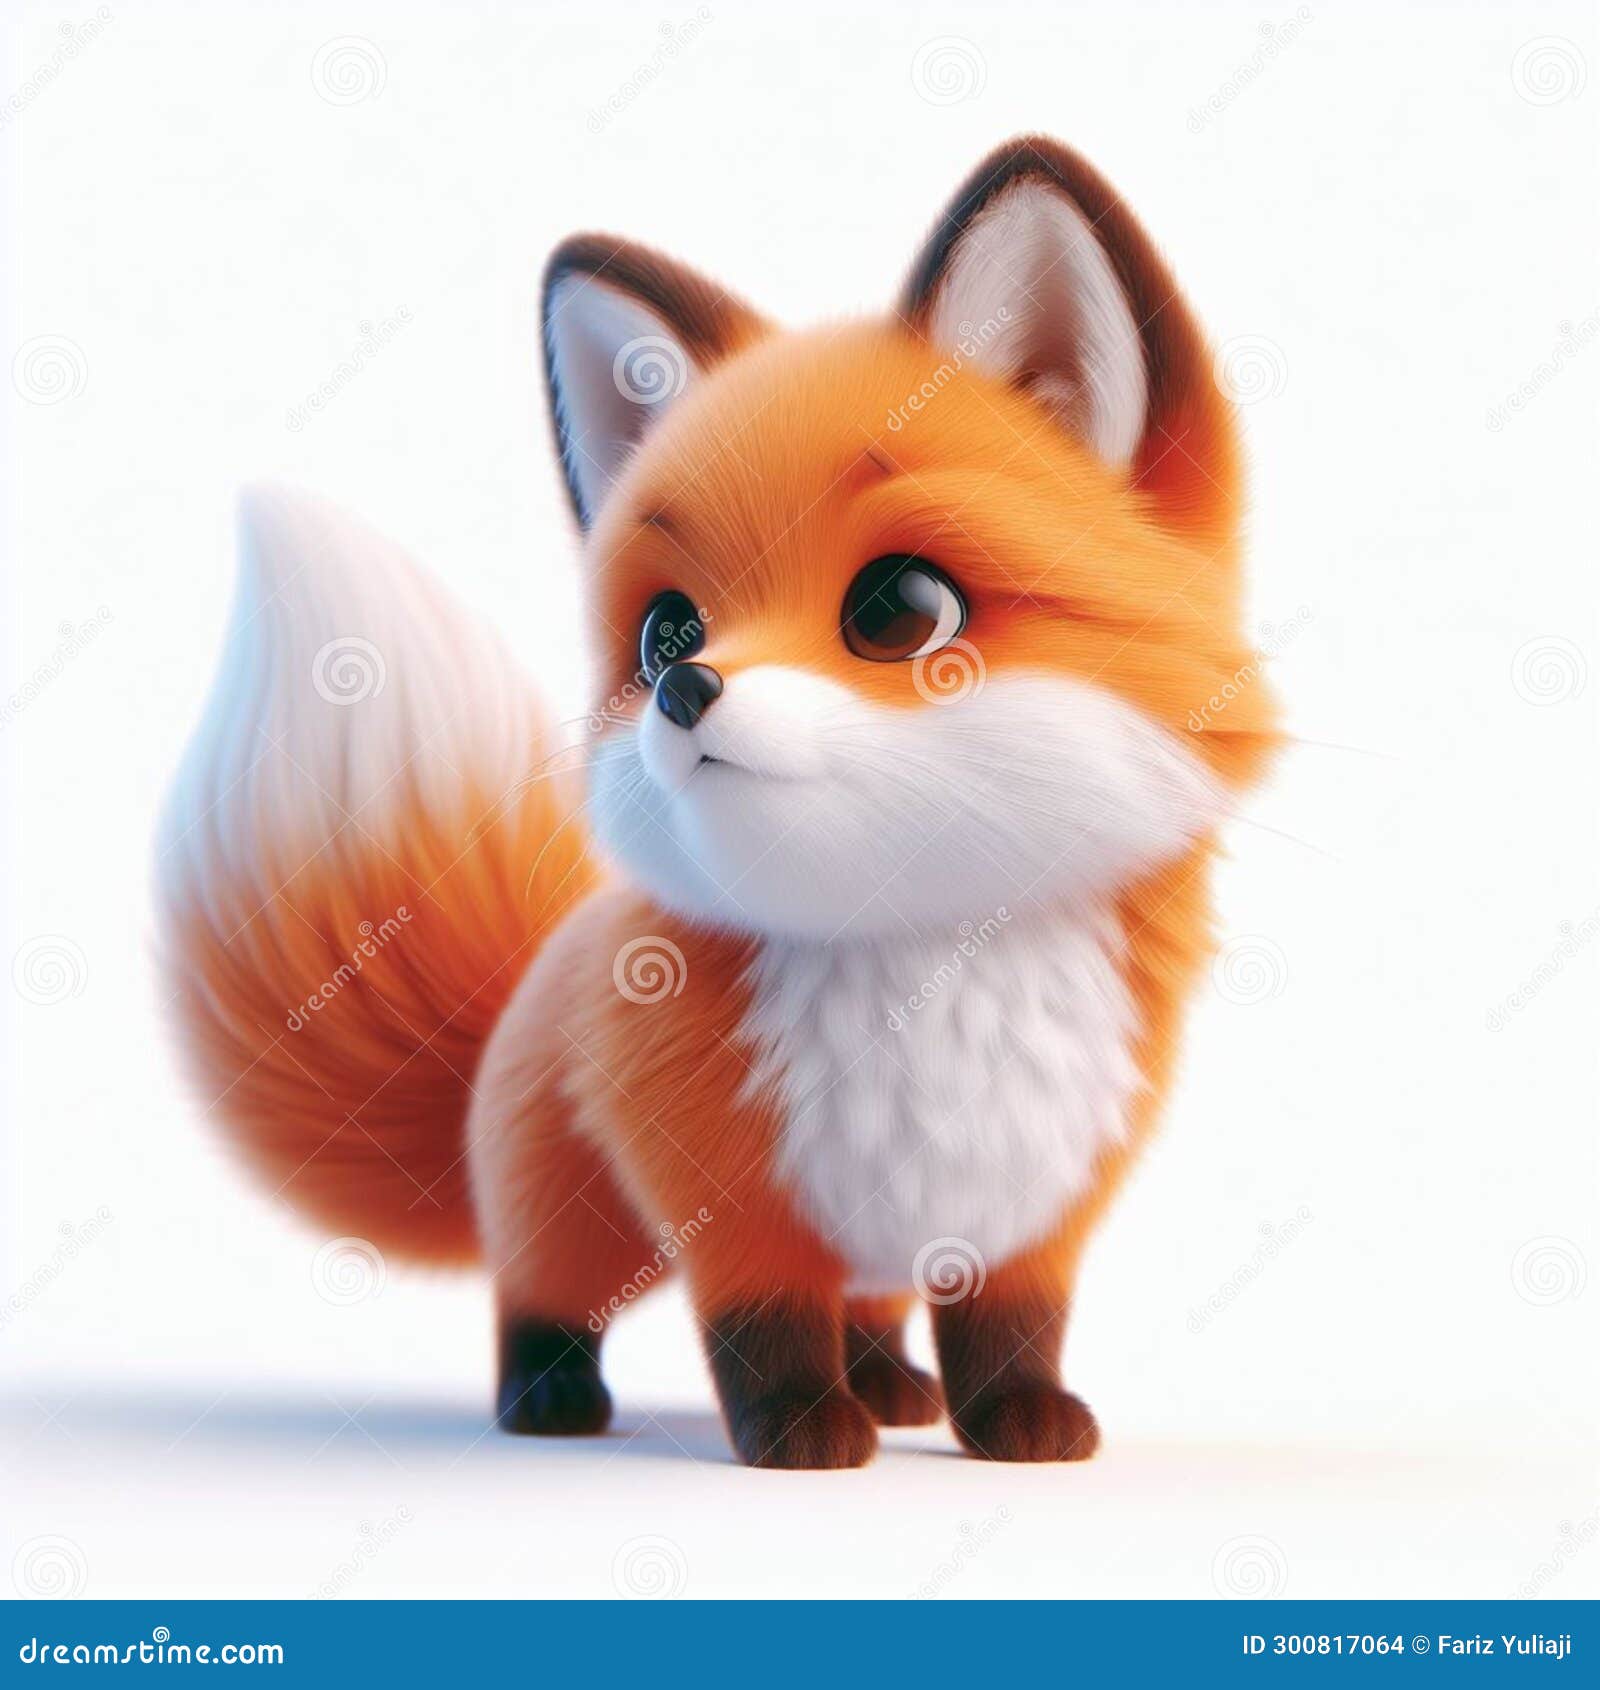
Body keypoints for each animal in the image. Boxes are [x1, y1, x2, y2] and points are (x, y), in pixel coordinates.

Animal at [156, 136, 1277, 1468]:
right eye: (666, 630)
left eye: (901, 609)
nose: (688, 689)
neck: (921, 964)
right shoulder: (729, 1202)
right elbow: (764, 1328)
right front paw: (799, 1432)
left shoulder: (1037, 1197)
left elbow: (1011, 1326)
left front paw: (1015, 1420)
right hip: (570, 1220)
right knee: (539, 1300)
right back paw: (552, 1401)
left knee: (872, 1307)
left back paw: (889, 1385)